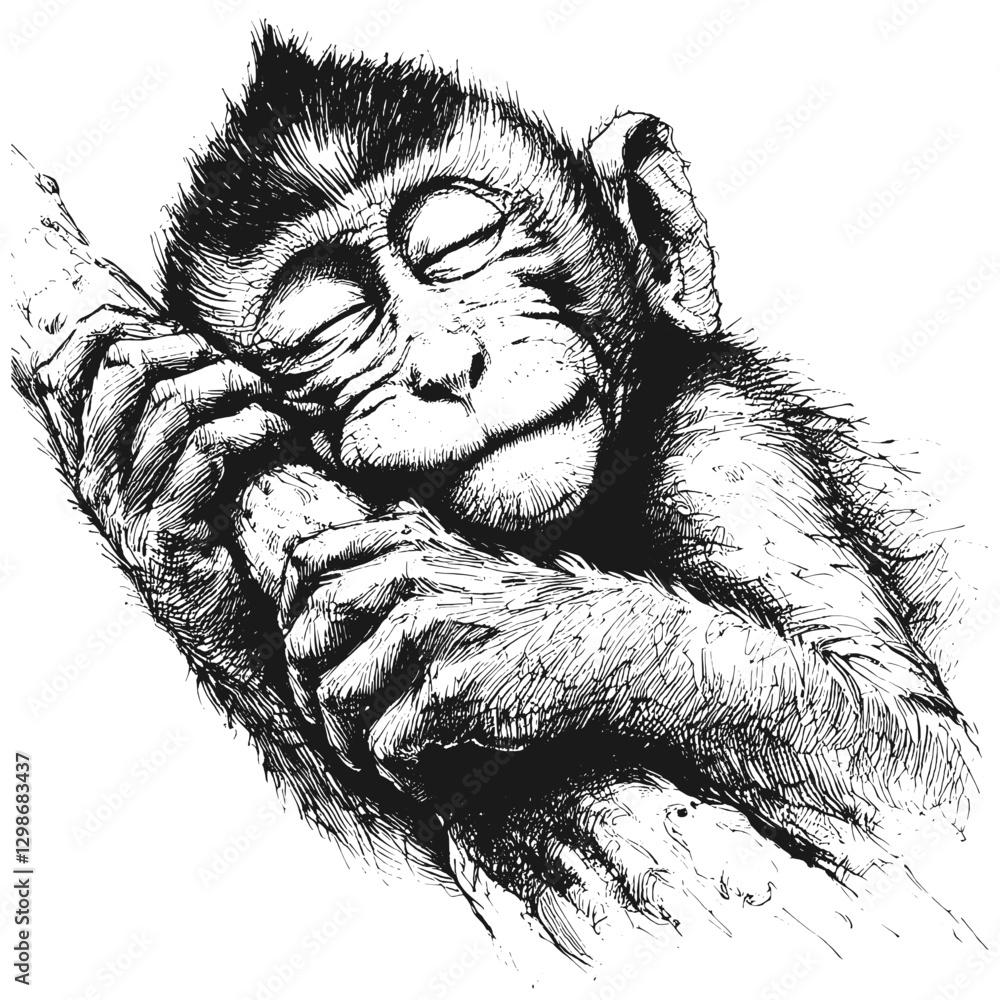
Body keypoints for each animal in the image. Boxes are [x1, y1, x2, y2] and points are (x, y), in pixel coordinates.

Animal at [34, 27, 973, 902]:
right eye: (326, 328)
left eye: (461, 245)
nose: (449, 365)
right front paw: (157, 480)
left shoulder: (728, 454)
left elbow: (926, 782)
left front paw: (512, 630)